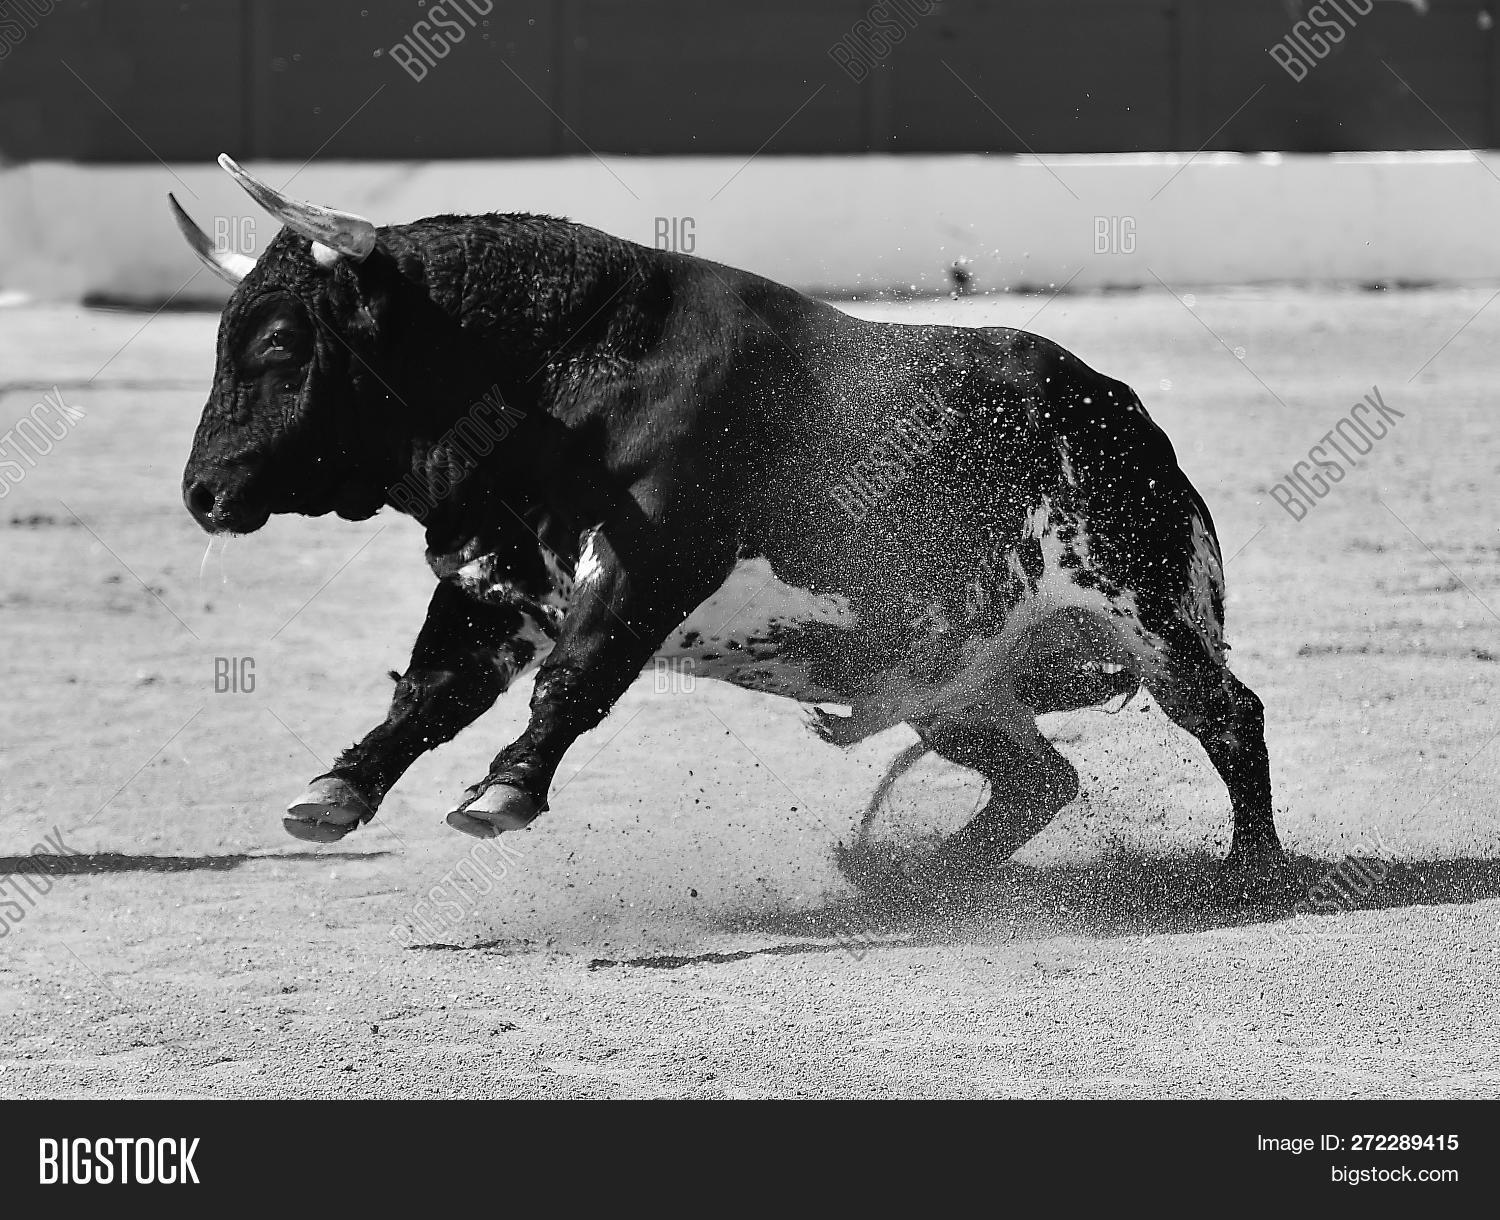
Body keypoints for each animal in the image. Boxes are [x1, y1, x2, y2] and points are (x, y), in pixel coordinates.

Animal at [172, 154, 1290, 898]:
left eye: (280, 341)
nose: (204, 494)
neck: (566, 377)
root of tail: (1123, 411)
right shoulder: (495, 574)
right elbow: (432, 688)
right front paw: (336, 788)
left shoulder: (651, 564)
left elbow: (573, 678)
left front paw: (501, 793)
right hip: (943, 681)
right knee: (1039, 779)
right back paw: (914, 877)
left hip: (1151, 612)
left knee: (1230, 715)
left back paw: (1256, 867)